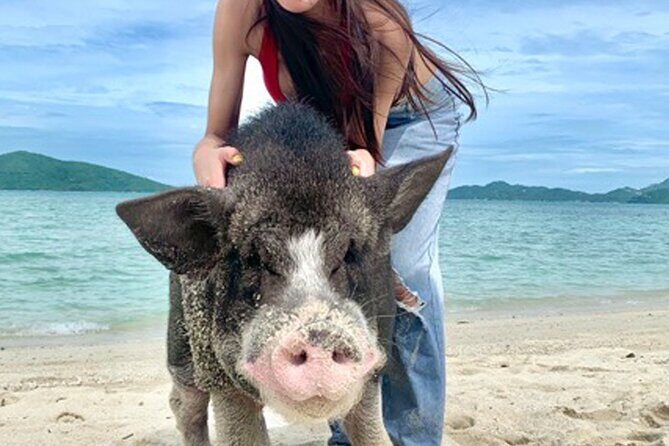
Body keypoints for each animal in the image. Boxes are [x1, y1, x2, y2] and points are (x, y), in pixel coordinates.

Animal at [116, 102, 452, 446]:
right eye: (253, 258)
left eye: (348, 253)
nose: (319, 334)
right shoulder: (220, 375)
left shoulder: (374, 363)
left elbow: (371, 432)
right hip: (181, 341)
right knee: (185, 404)